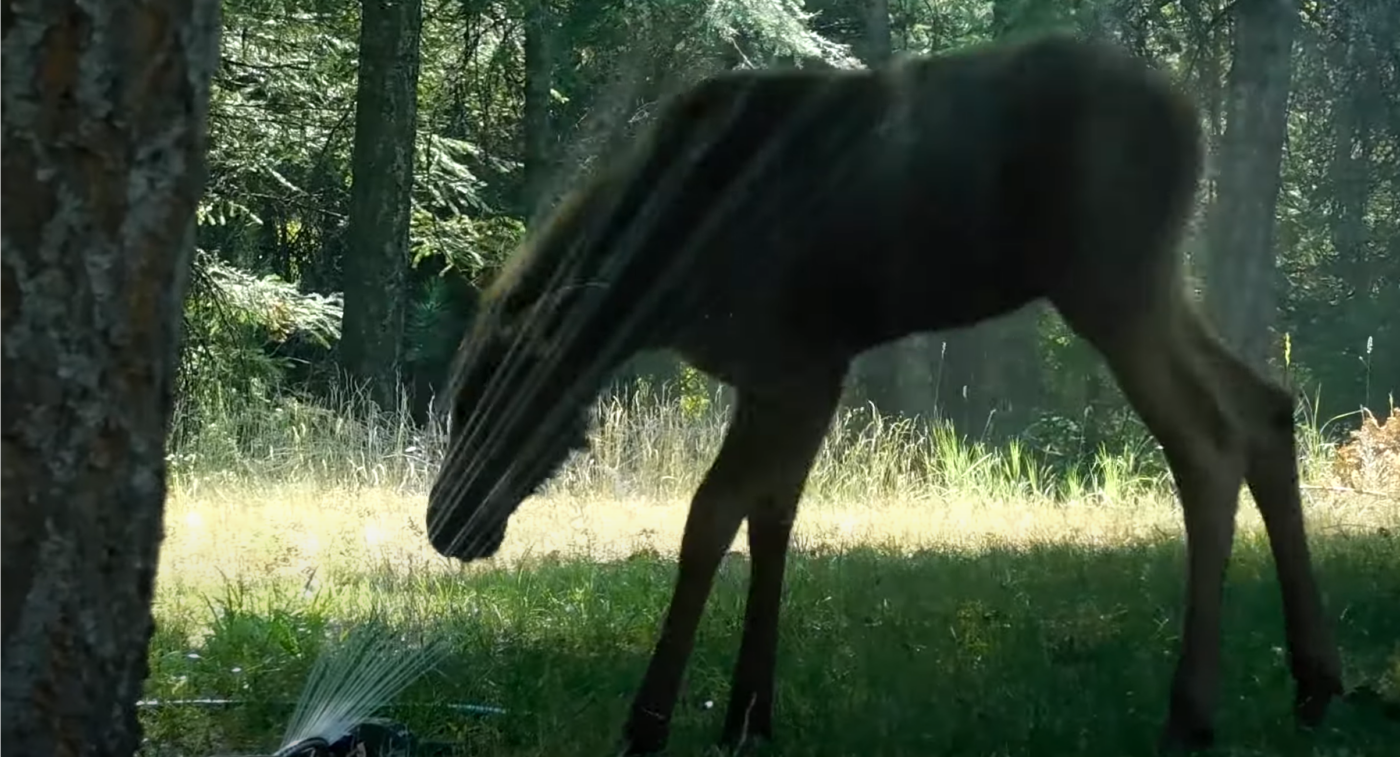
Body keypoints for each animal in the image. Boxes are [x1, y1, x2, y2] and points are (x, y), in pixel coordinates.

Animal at [424, 32, 1344, 755]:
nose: (445, 523)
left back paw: (1192, 709)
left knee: (1208, 440)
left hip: (1110, 281)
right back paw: (1314, 682)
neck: (655, 288)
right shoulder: (800, 373)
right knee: (1266, 404)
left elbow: (710, 520)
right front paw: (748, 711)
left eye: (492, 401)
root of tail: (1192, 120)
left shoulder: (790, 366)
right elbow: (773, 518)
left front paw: (650, 720)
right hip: (1151, 282)